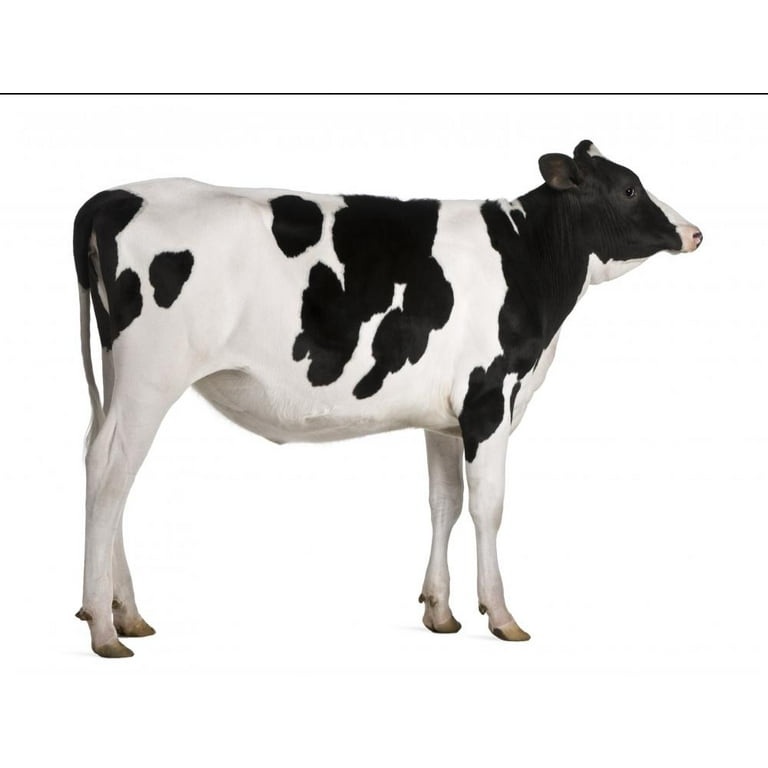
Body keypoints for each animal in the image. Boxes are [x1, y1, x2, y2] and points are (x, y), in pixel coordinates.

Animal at [73, 140, 702, 657]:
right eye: (629, 187)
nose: (694, 232)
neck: (528, 257)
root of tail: (113, 195)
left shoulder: (445, 418)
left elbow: (444, 503)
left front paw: (440, 612)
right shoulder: (489, 398)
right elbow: (488, 507)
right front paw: (500, 616)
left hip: (117, 372)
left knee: (101, 465)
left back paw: (124, 614)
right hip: (150, 377)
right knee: (111, 471)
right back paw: (104, 629)